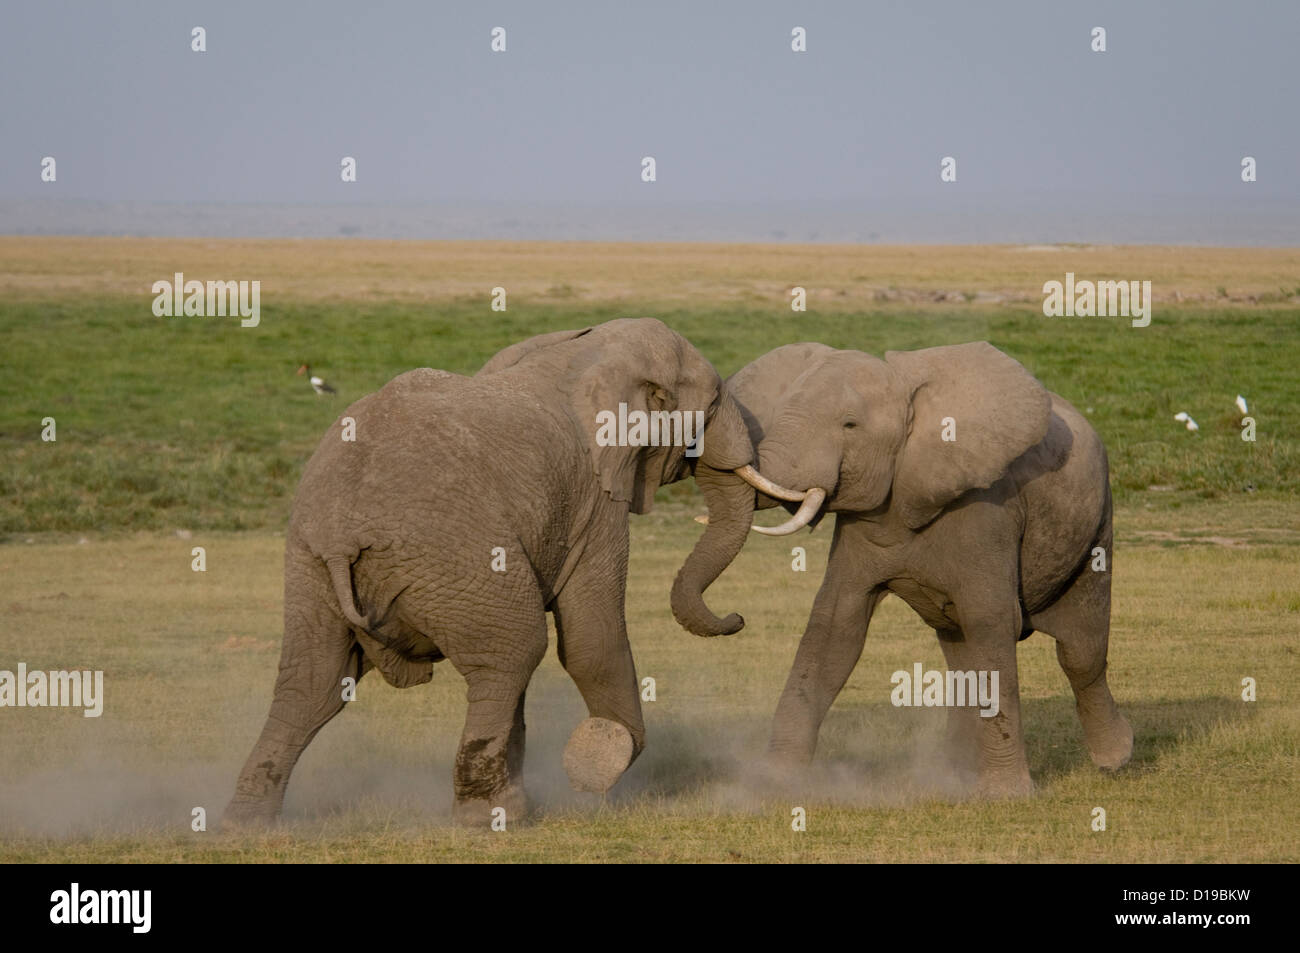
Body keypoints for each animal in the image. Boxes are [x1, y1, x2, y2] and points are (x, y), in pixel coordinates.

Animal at [224, 318, 798, 825]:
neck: (585, 351)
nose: (737, 618)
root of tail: (342, 532)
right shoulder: (595, 501)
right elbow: (591, 640)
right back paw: (484, 818)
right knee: (511, 653)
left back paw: (246, 826)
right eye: (716, 402)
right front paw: (599, 761)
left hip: (310, 564)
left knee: (312, 682)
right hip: (454, 556)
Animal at [671, 340, 1133, 796]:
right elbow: (834, 627)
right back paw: (952, 774)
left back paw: (1115, 758)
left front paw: (1007, 795)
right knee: (962, 655)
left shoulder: (987, 511)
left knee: (1079, 652)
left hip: (1096, 526)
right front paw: (774, 784)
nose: (736, 618)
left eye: (850, 425)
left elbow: (991, 622)